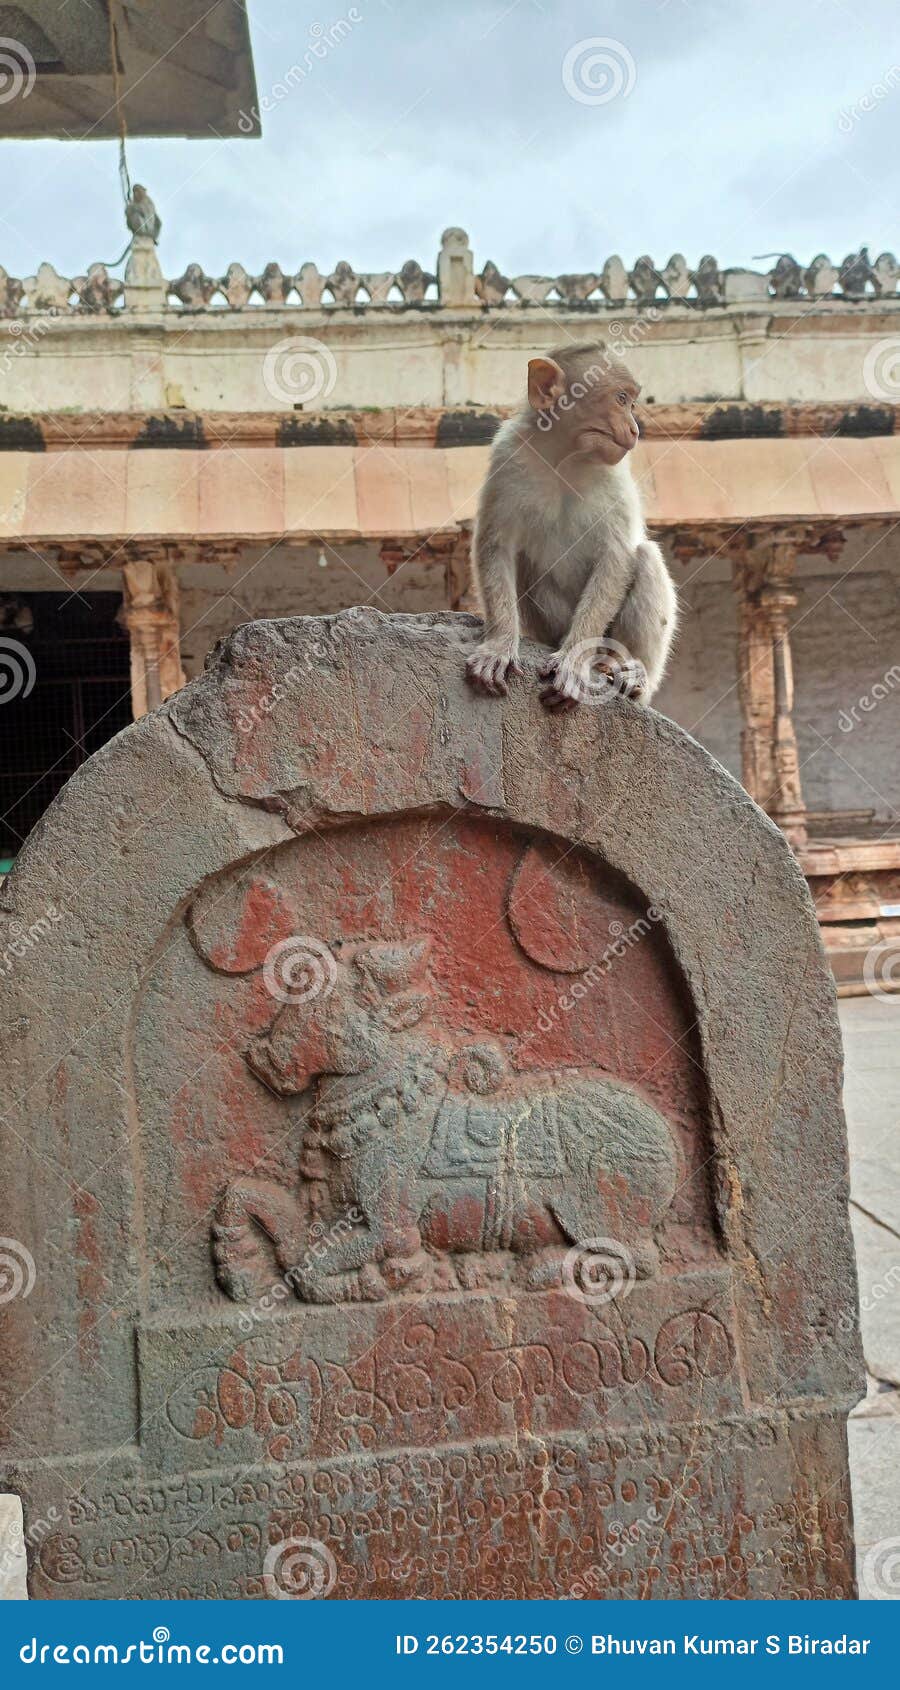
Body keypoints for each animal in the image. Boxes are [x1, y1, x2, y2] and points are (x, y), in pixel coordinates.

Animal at [465, 343, 677, 710]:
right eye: (621, 398)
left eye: (631, 403)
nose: (635, 430)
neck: (566, 457)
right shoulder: (508, 454)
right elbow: (497, 546)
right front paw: (500, 644)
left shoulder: (615, 476)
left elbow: (615, 558)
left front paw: (574, 662)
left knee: (646, 556)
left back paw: (634, 675)